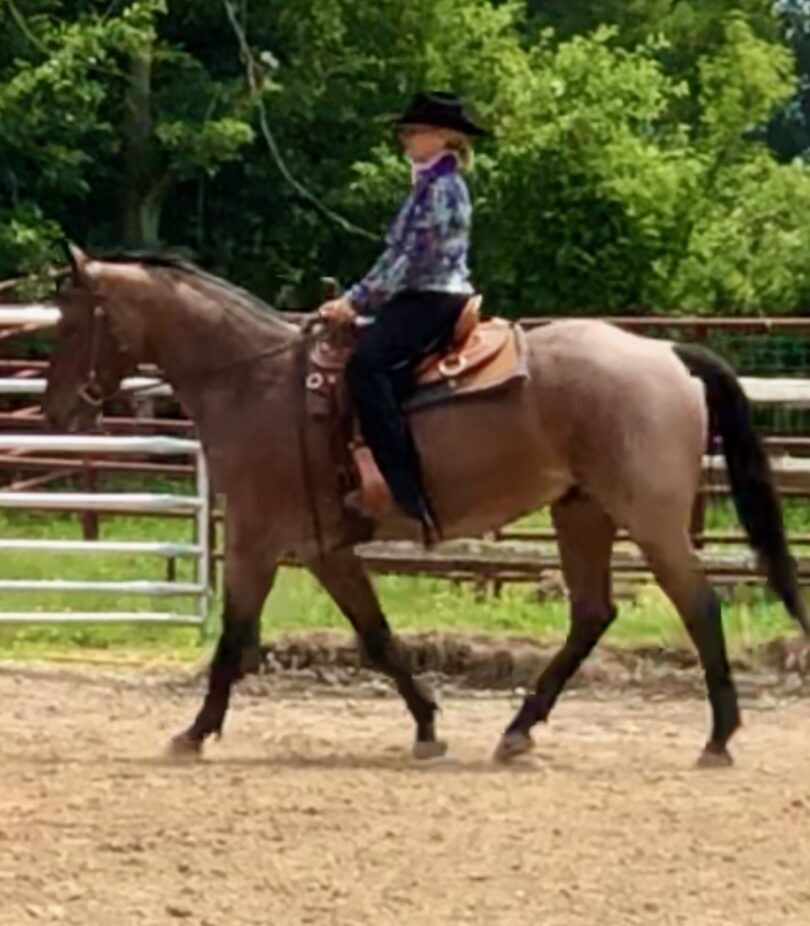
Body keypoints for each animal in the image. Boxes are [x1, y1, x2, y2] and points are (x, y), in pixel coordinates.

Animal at [43, 243, 809, 767]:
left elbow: (234, 637)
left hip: (648, 516)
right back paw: (517, 731)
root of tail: (669, 354)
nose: (56, 412)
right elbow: (377, 636)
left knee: (697, 605)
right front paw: (428, 726)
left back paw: (718, 737)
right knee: (593, 614)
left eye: (72, 322)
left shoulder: (259, 539)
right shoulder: (324, 547)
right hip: (581, 511)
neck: (258, 384)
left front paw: (194, 732)